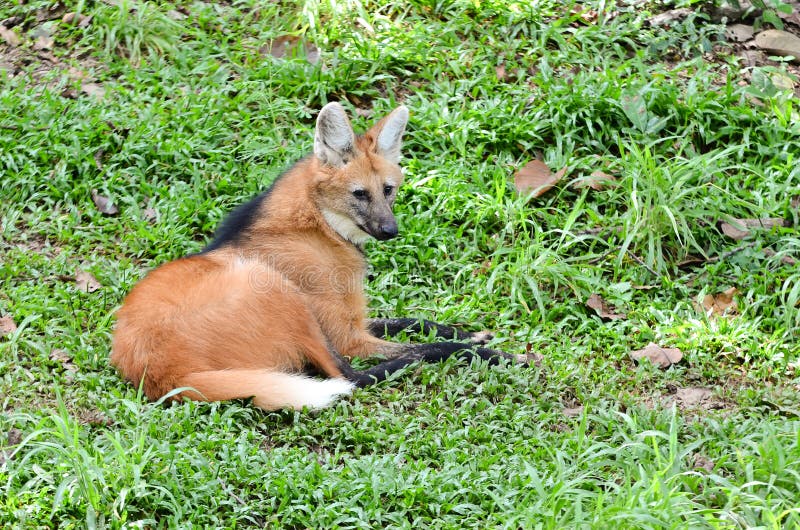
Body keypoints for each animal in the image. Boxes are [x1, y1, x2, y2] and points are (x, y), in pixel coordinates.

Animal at [111, 102, 525, 411]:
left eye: (388, 190)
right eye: (360, 194)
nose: (390, 231)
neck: (319, 226)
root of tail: (161, 374)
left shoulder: (355, 319)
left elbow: (415, 322)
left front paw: (468, 332)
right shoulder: (347, 335)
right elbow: (422, 344)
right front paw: (494, 351)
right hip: (277, 290)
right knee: (347, 377)